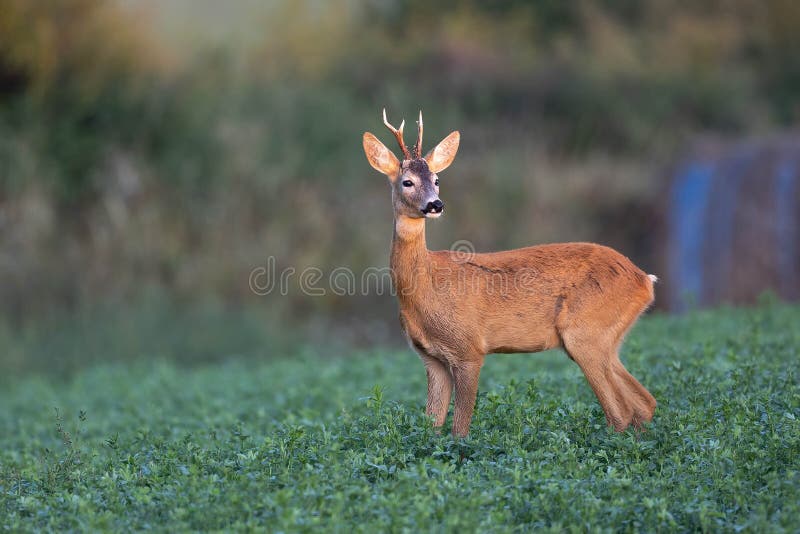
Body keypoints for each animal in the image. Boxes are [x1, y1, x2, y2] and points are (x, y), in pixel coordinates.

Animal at [362, 109, 657, 437]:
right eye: (408, 182)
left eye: (437, 180)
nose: (435, 204)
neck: (425, 287)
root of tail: (644, 279)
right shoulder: (431, 358)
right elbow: (433, 425)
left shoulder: (469, 349)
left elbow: (460, 429)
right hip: (605, 339)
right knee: (644, 402)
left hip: (585, 332)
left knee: (621, 412)